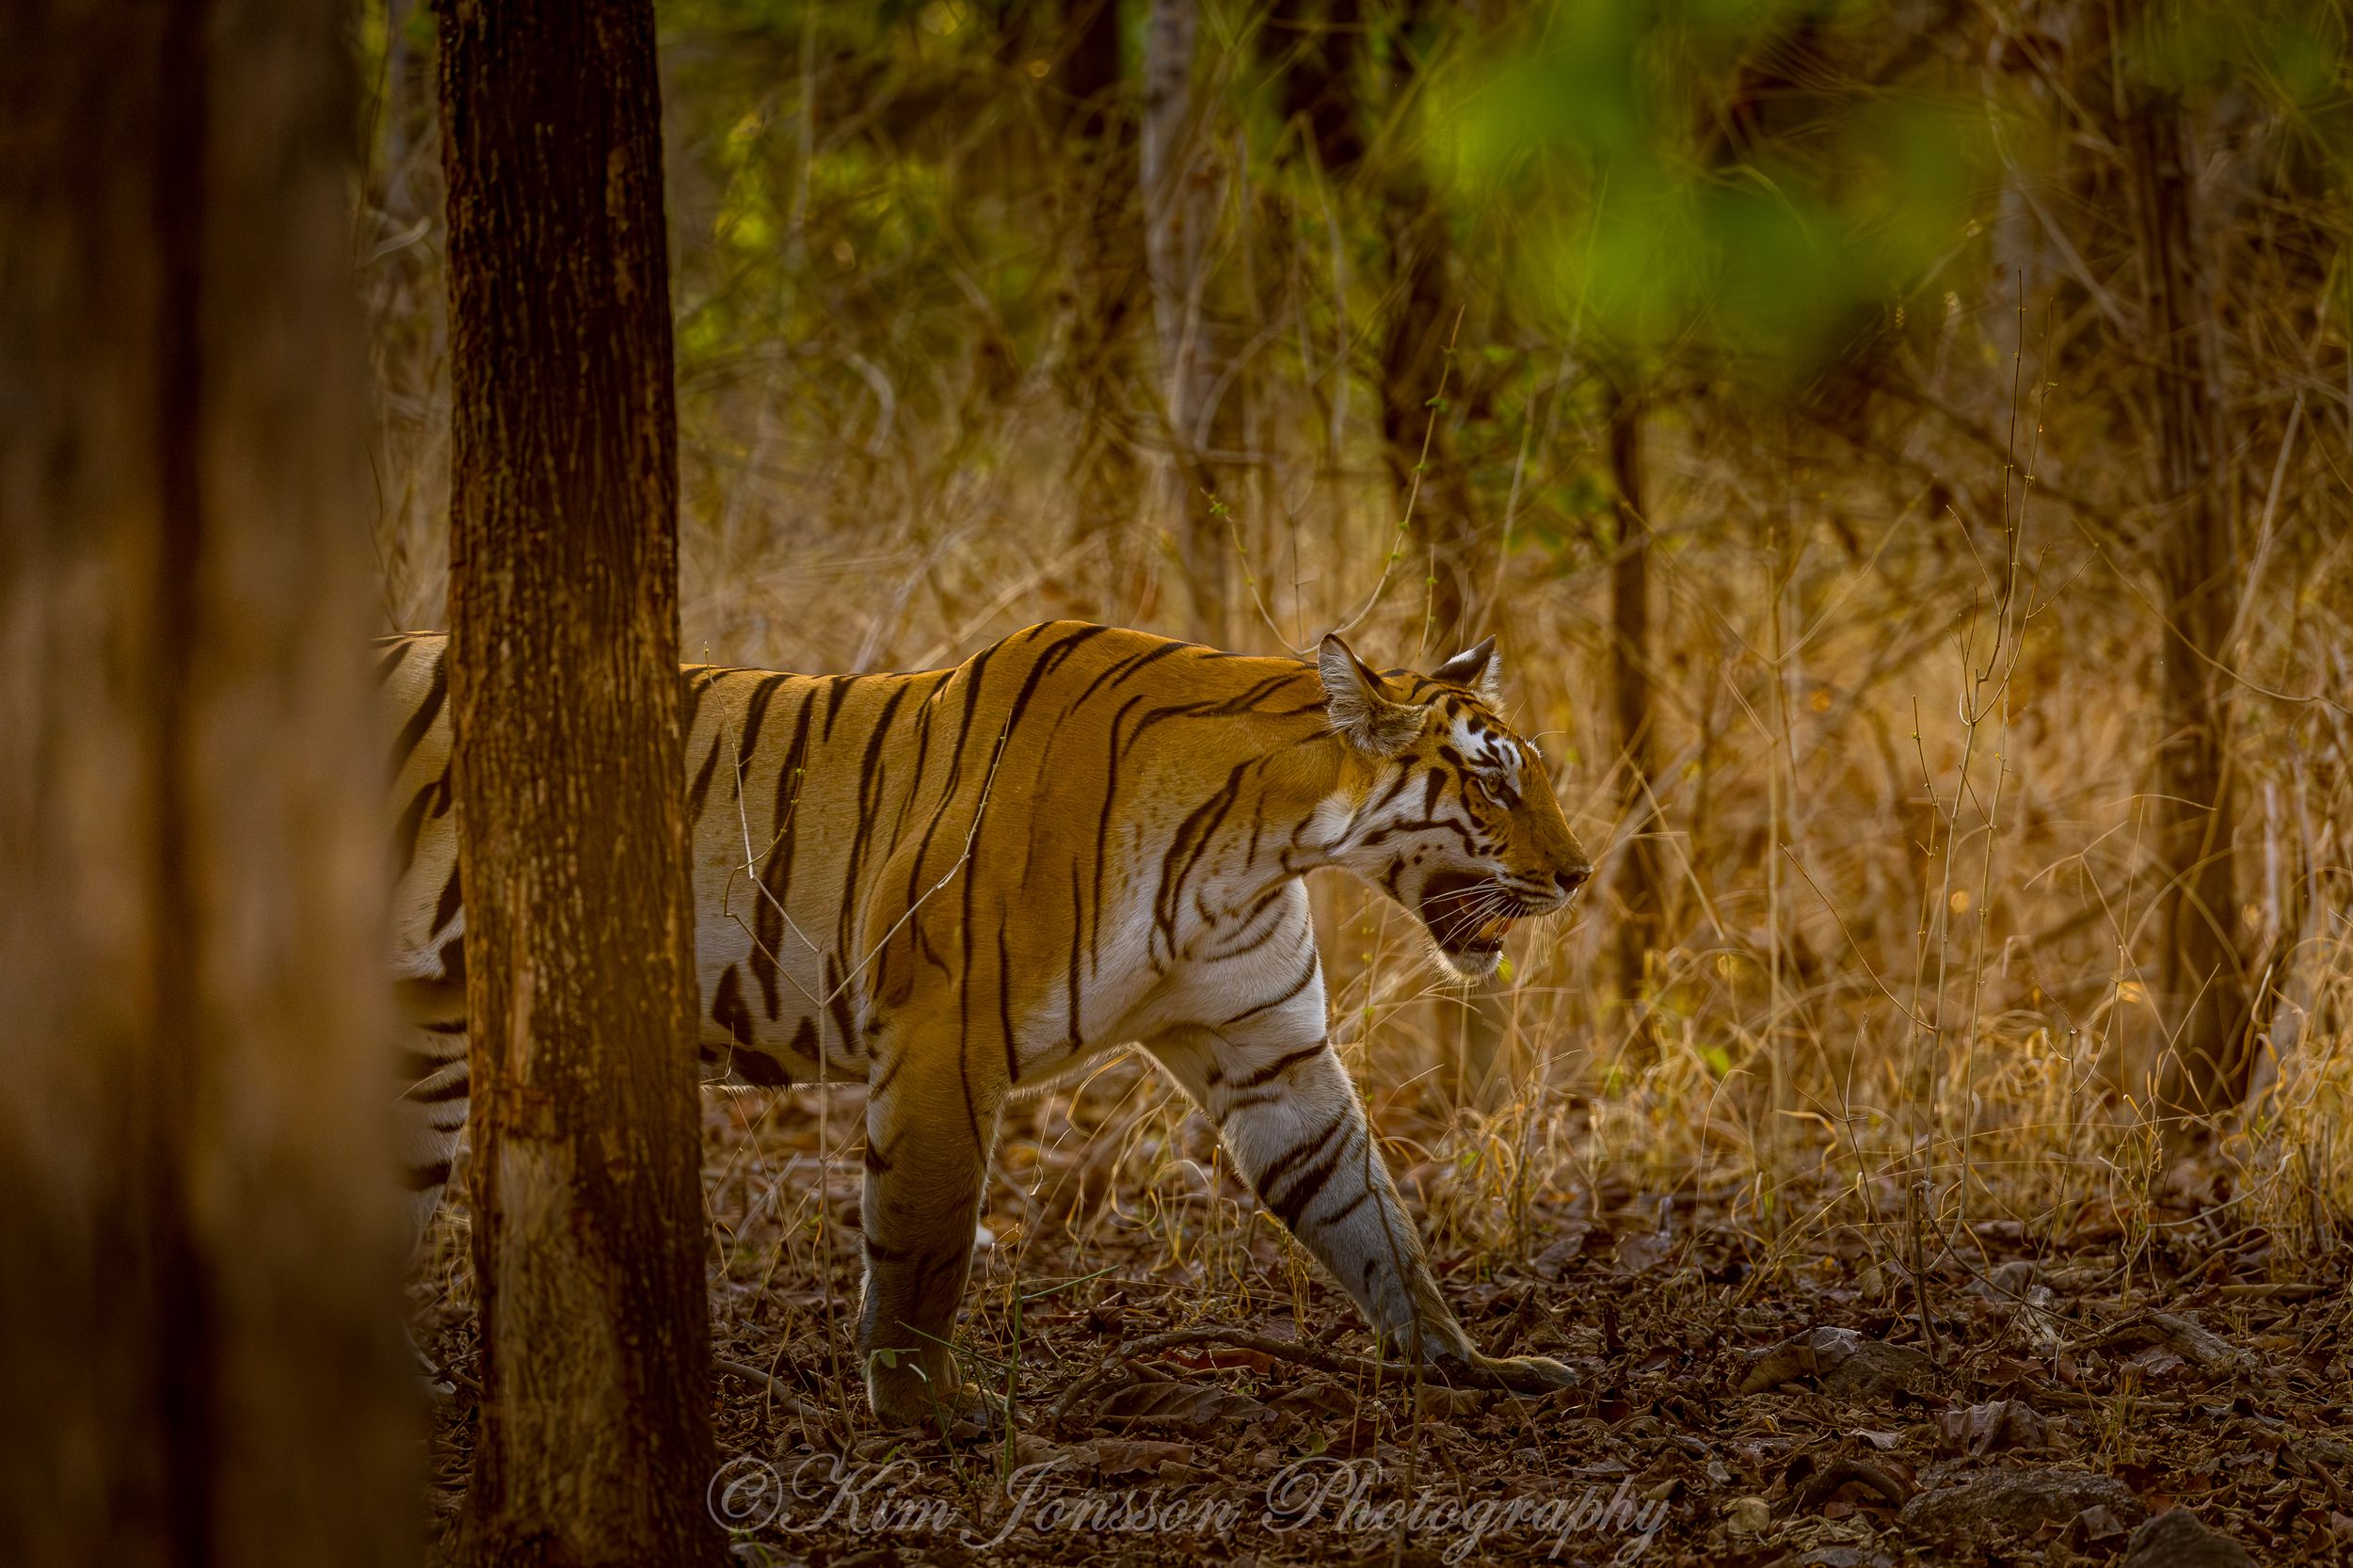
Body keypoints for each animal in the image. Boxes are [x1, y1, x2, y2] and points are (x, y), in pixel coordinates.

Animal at [383, 619, 1593, 1425]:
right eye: (1493, 788)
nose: (1580, 875)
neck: (1263, 841)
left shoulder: (1272, 1048)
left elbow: (1368, 1212)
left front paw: (1465, 1363)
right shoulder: (943, 1032)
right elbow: (923, 1237)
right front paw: (928, 1409)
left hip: (422, 1047)